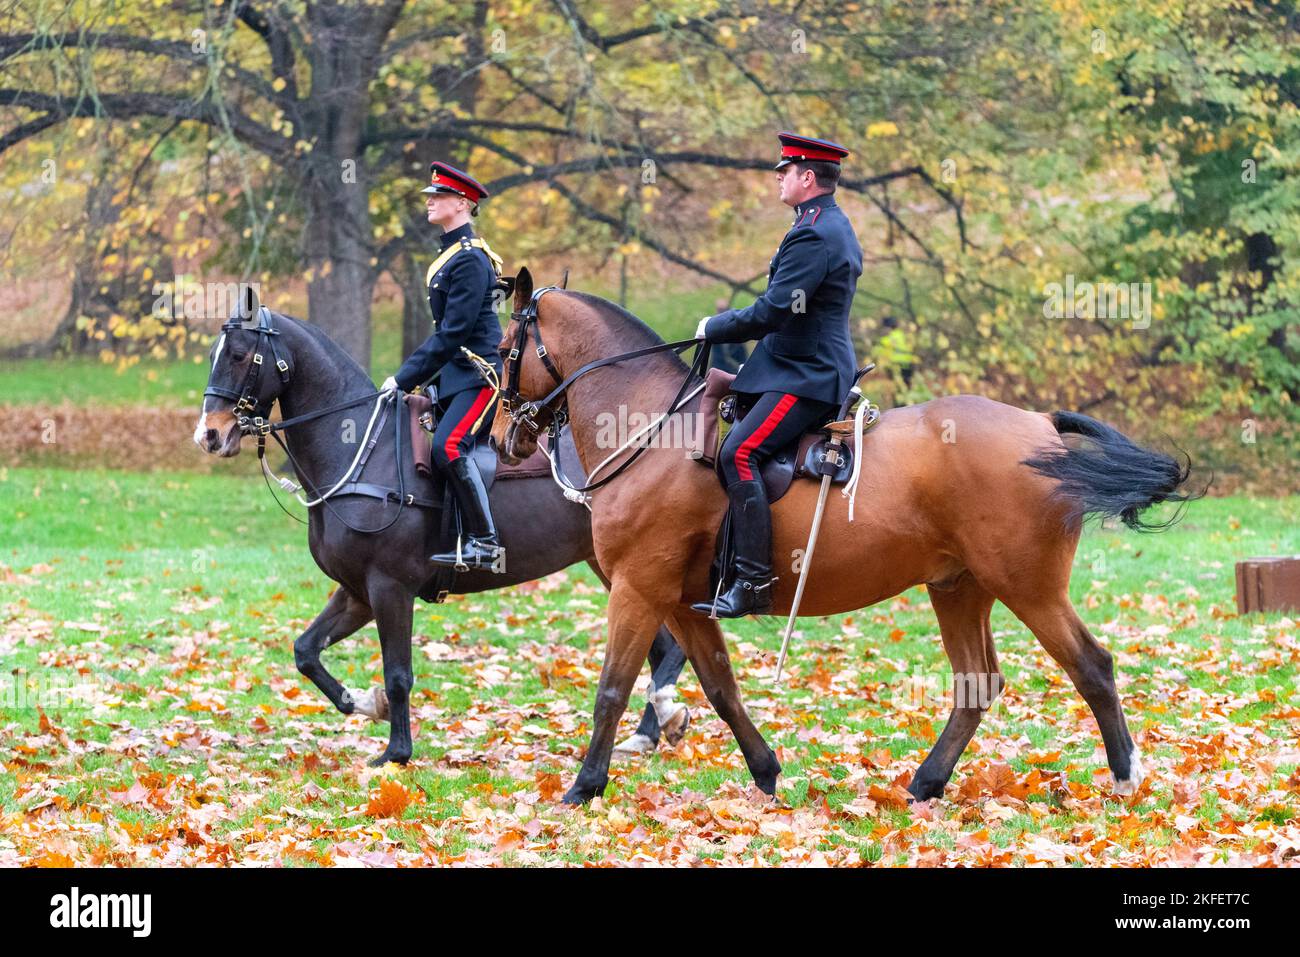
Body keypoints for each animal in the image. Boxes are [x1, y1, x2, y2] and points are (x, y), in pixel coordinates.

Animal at [193, 299, 693, 766]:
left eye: (239, 354)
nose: (210, 435)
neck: (361, 449)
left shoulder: (389, 587)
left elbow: (398, 674)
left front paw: (396, 752)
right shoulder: (357, 592)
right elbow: (306, 652)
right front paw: (364, 703)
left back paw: (663, 713)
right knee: (662, 647)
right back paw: (648, 731)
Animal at [491, 268, 1201, 805]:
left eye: (502, 350)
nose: (502, 438)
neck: (652, 430)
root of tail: (1042, 426)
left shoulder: (638, 589)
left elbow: (611, 689)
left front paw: (584, 787)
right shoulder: (681, 599)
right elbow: (721, 688)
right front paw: (766, 771)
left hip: (1028, 587)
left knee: (1092, 667)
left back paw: (1125, 776)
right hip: (959, 587)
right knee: (975, 686)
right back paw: (926, 783)